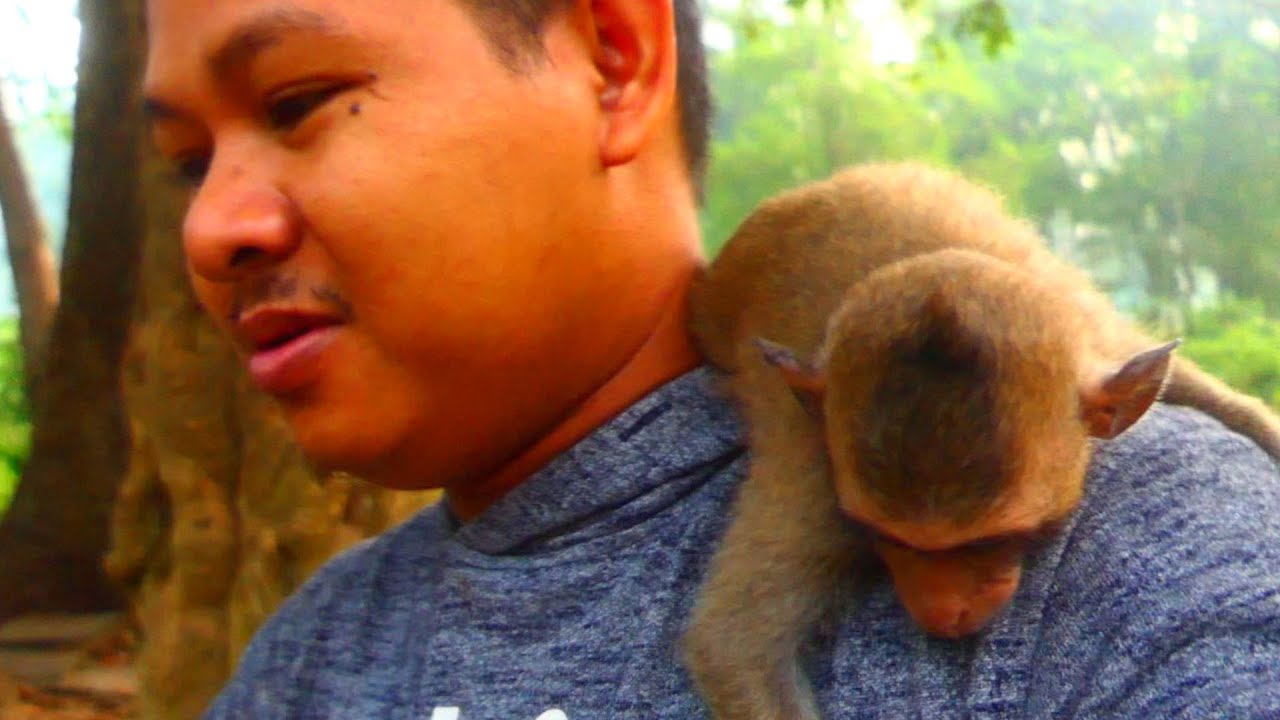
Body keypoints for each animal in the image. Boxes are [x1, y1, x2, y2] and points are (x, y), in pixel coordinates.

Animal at [681, 162, 1280, 720]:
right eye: (884, 536)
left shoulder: (1093, 338)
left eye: (996, 539)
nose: (942, 615)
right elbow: (733, 643)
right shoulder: (813, 462)